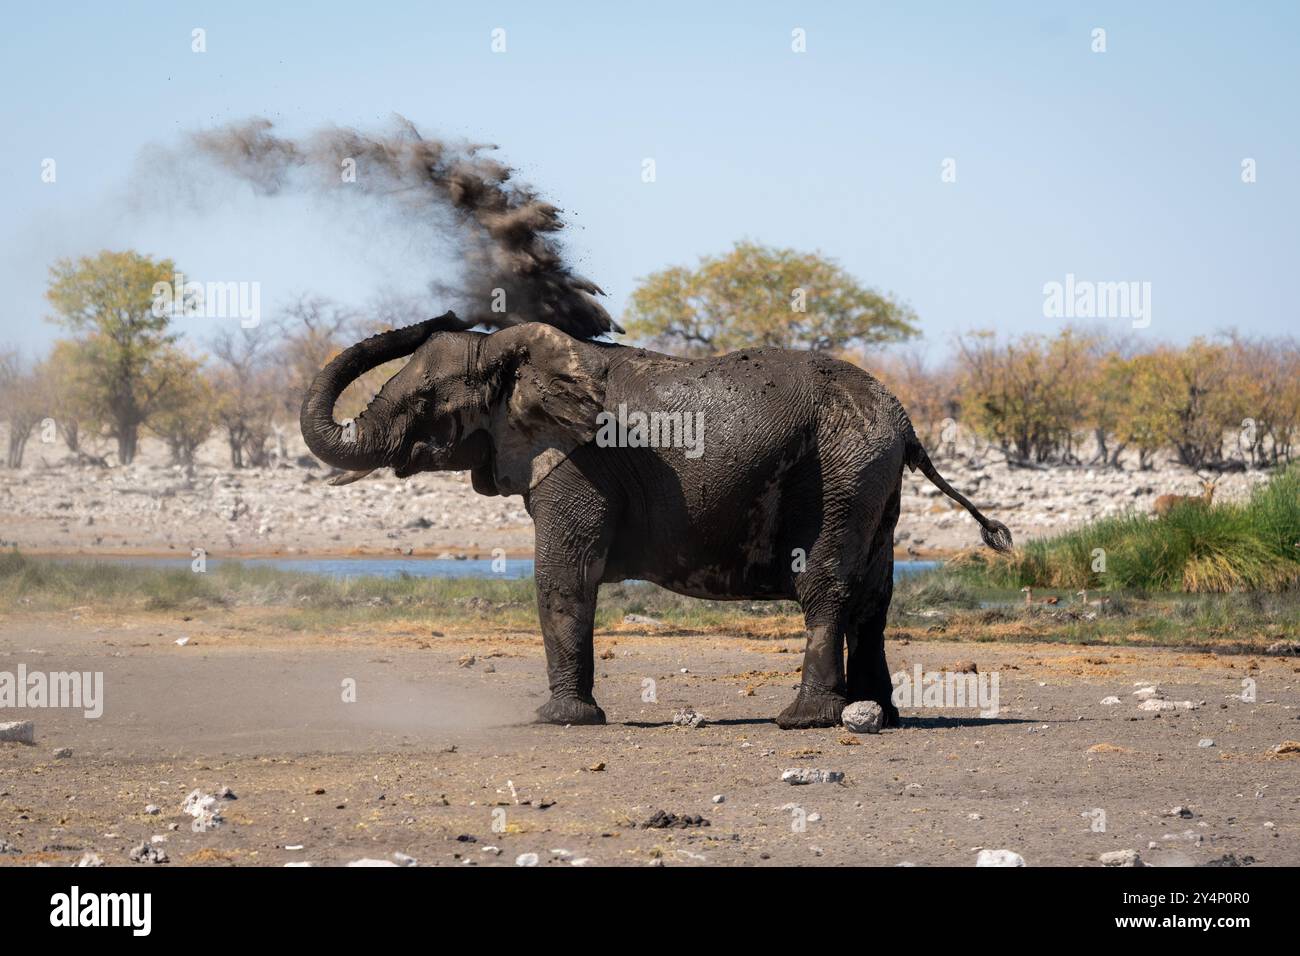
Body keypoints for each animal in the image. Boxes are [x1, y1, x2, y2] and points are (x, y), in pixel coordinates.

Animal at [301, 312, 1012, 729]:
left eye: (425, 397)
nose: (447, 311)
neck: (519, 356)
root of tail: (904, 418)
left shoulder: (580, 460)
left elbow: (562, 574)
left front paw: (559, 720)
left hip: (842, 470)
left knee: (827, 587)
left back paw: (803, 719)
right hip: (872, 481)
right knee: (873, 596)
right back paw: (879, 715)